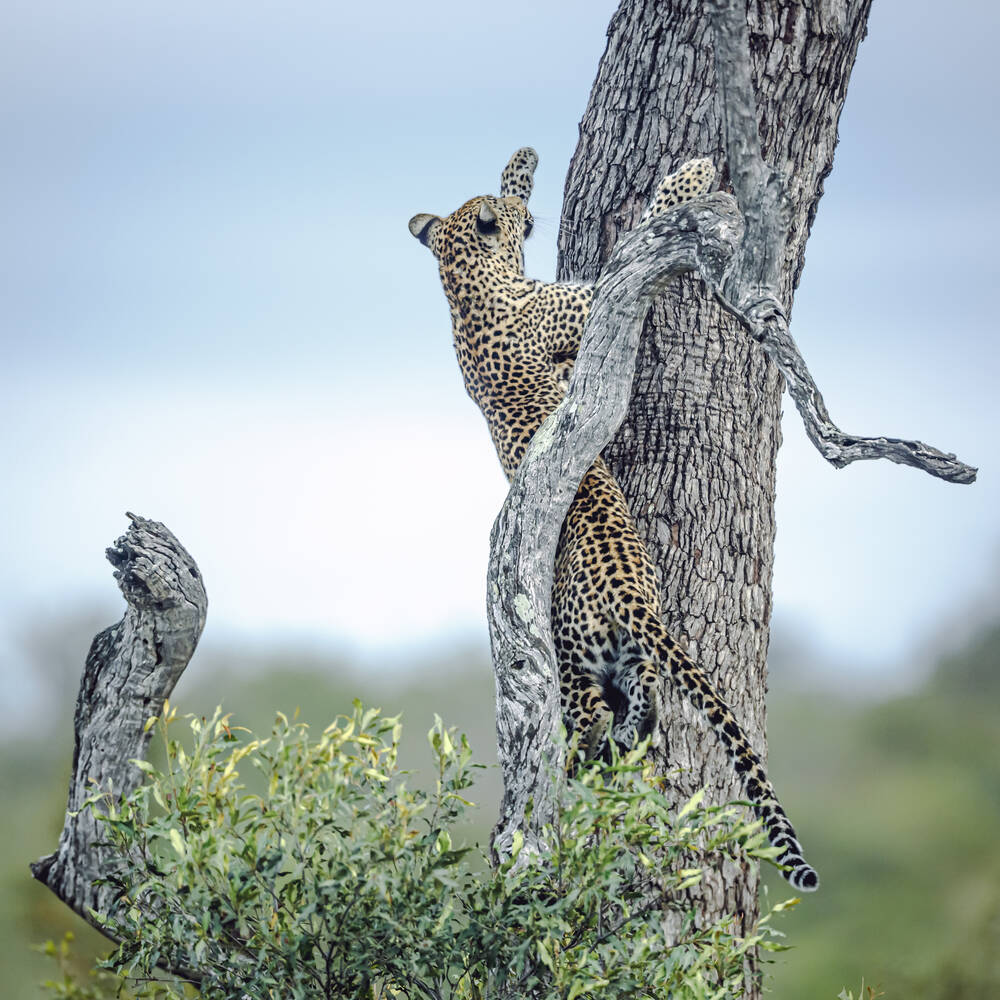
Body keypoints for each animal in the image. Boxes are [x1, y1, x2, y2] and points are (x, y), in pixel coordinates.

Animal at [408, 147, 818, 892]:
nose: (526, 214)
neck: (463, 286)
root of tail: (628, 590)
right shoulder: (596, 296)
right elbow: (637, 242)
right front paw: (691, 173)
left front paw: (520, 165)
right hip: (575, 664)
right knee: (592, 725)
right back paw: (586, 768)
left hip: (632, 657)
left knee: (639, 706)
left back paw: (628, 743)